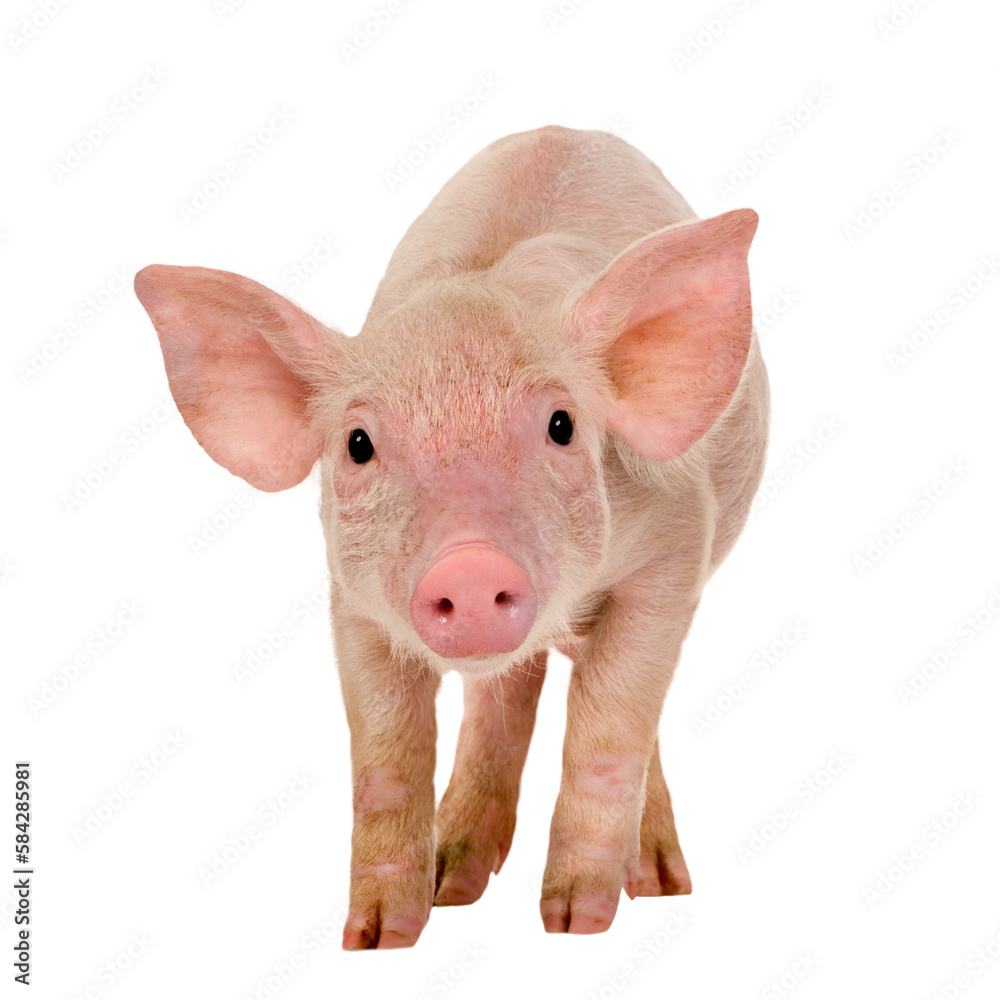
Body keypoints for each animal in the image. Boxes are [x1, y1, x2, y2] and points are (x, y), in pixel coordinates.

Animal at [134, 124, 769, 949]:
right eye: (359, 444)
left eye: (562, 425)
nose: (468, 567)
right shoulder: (352, 597)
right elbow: (385, 755)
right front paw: (377, 938)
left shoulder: (675, 546)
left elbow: (609, 729)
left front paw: (573, 925)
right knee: (505, 693)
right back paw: (459, 883)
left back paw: (659, 884)